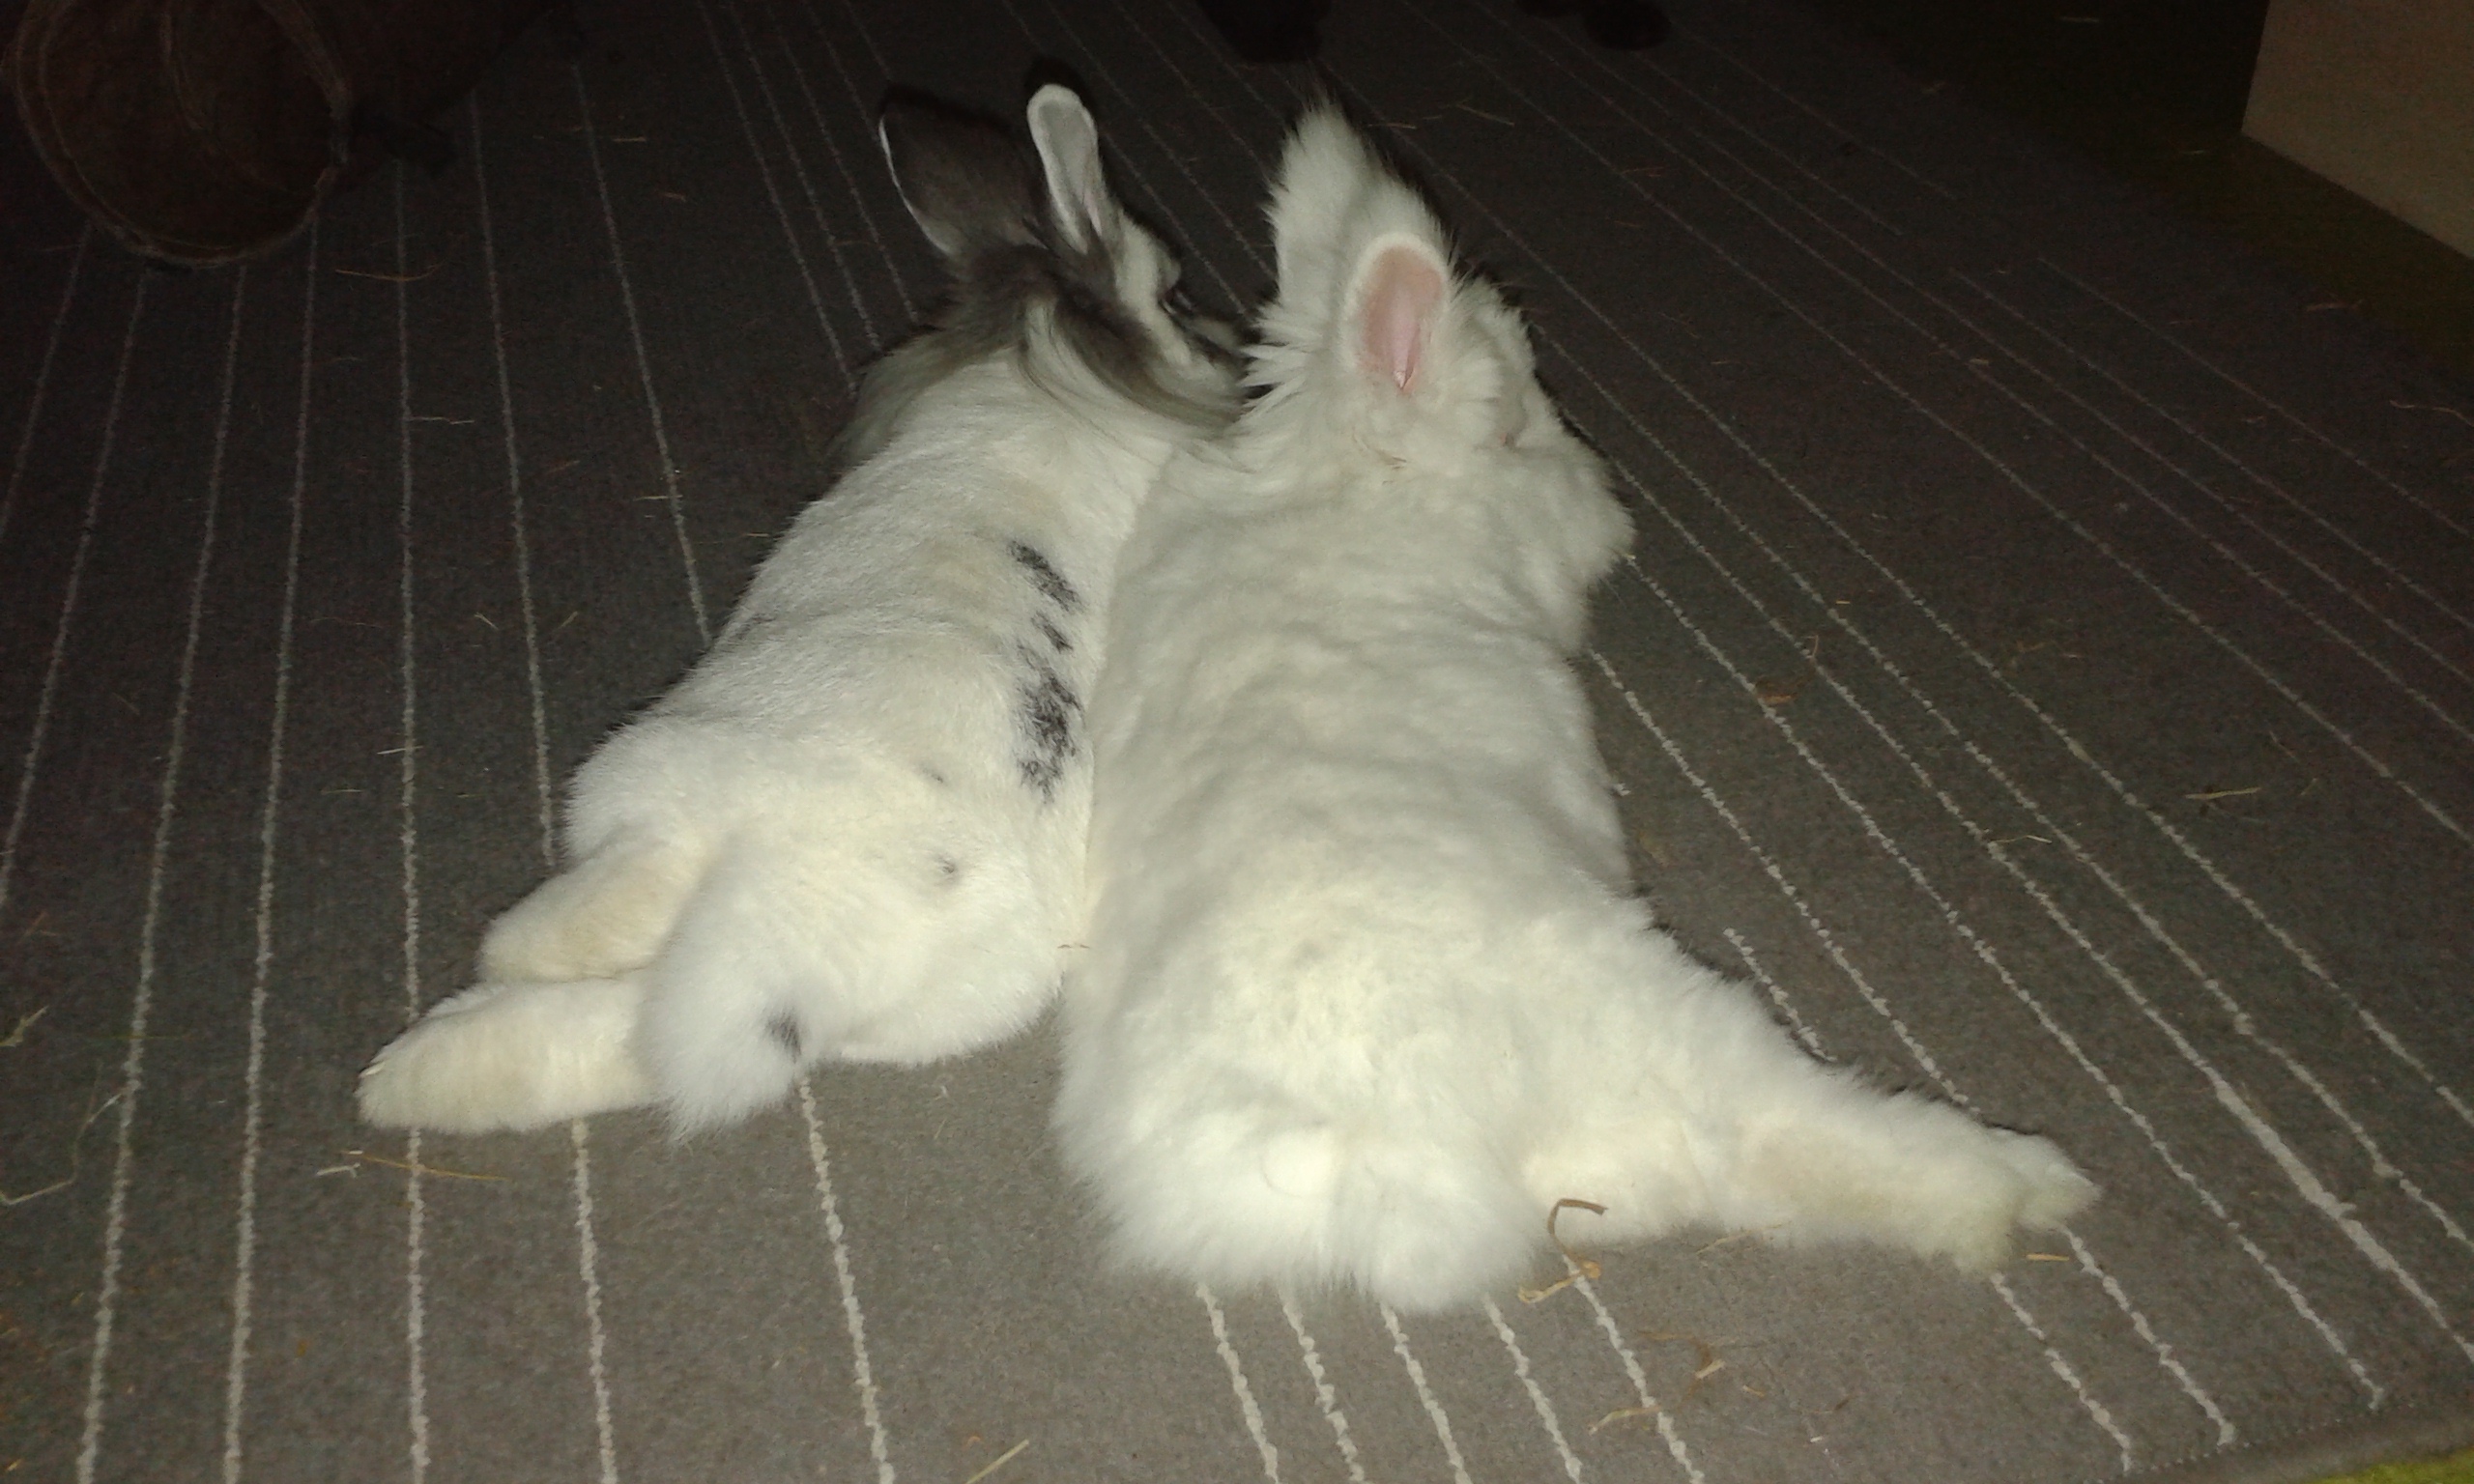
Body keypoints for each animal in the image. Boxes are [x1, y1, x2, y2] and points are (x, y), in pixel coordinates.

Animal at [357, 83, 1238, 1135]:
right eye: (1178, 297)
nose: (1232, 345)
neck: (1052, 370)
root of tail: (809, 921)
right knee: (633, 1038)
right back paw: (428, 1067)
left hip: (653, 777)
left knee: (618, 906)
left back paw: (448, 1015)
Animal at [1053, 103, 2096, 1313]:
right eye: (1515, 434)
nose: (1611, 509)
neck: (1345, 488)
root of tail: (1380, 1144)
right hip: (1684, 1020)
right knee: (1806, 1135)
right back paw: (2027, 1183)